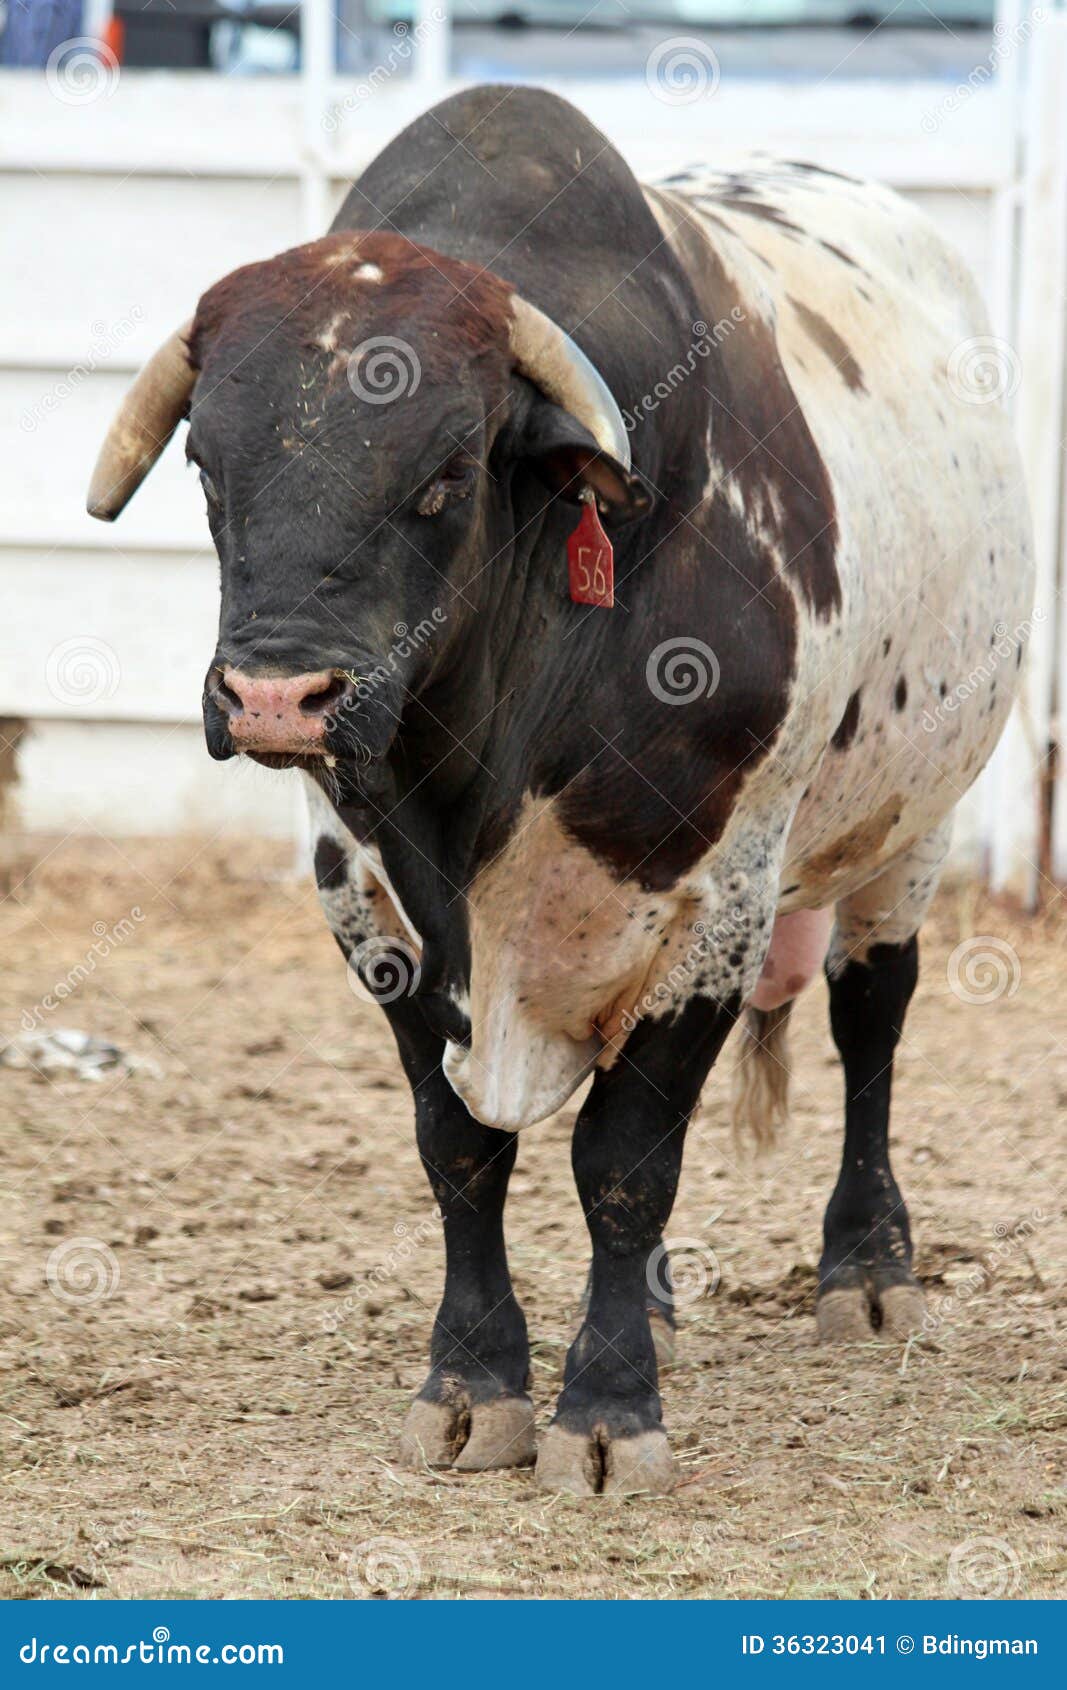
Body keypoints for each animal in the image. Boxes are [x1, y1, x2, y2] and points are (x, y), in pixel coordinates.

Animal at [87, 85, 1034, 1497]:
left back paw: (864, 1268)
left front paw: (607, 1408)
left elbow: (625, 1158)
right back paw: (658, 1302)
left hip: (907, 829)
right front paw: (472, 1385)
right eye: (207, 465)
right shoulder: (363, 898)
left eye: (445, 473)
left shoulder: (716, 898)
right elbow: (460, 1150)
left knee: (872, 1015)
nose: (273, 696)